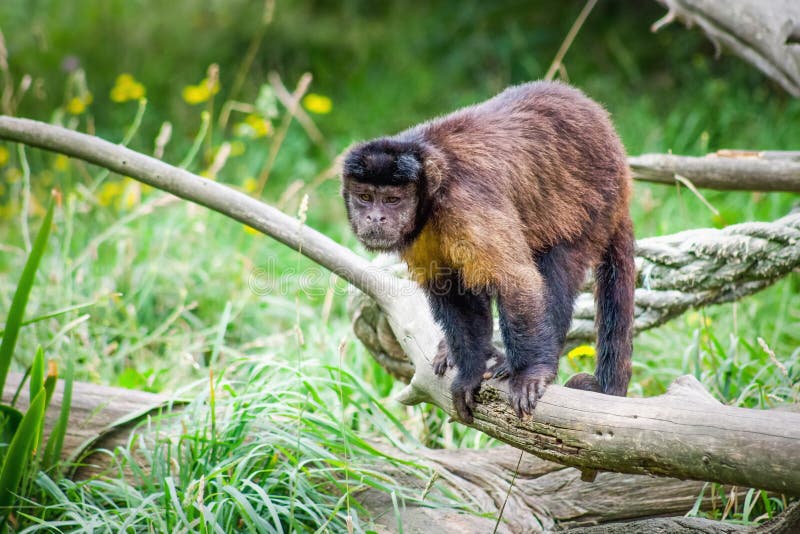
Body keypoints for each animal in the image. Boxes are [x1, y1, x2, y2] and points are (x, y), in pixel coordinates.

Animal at [341, 81, 635, 423]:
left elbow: (516, 280)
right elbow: (451, 290)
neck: (433, 195)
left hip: (595, 204)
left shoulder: (465, 203)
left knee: (556, 265)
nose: (375, 217)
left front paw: (531, 372)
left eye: (391, 200)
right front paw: (471, 372)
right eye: (365, 197)